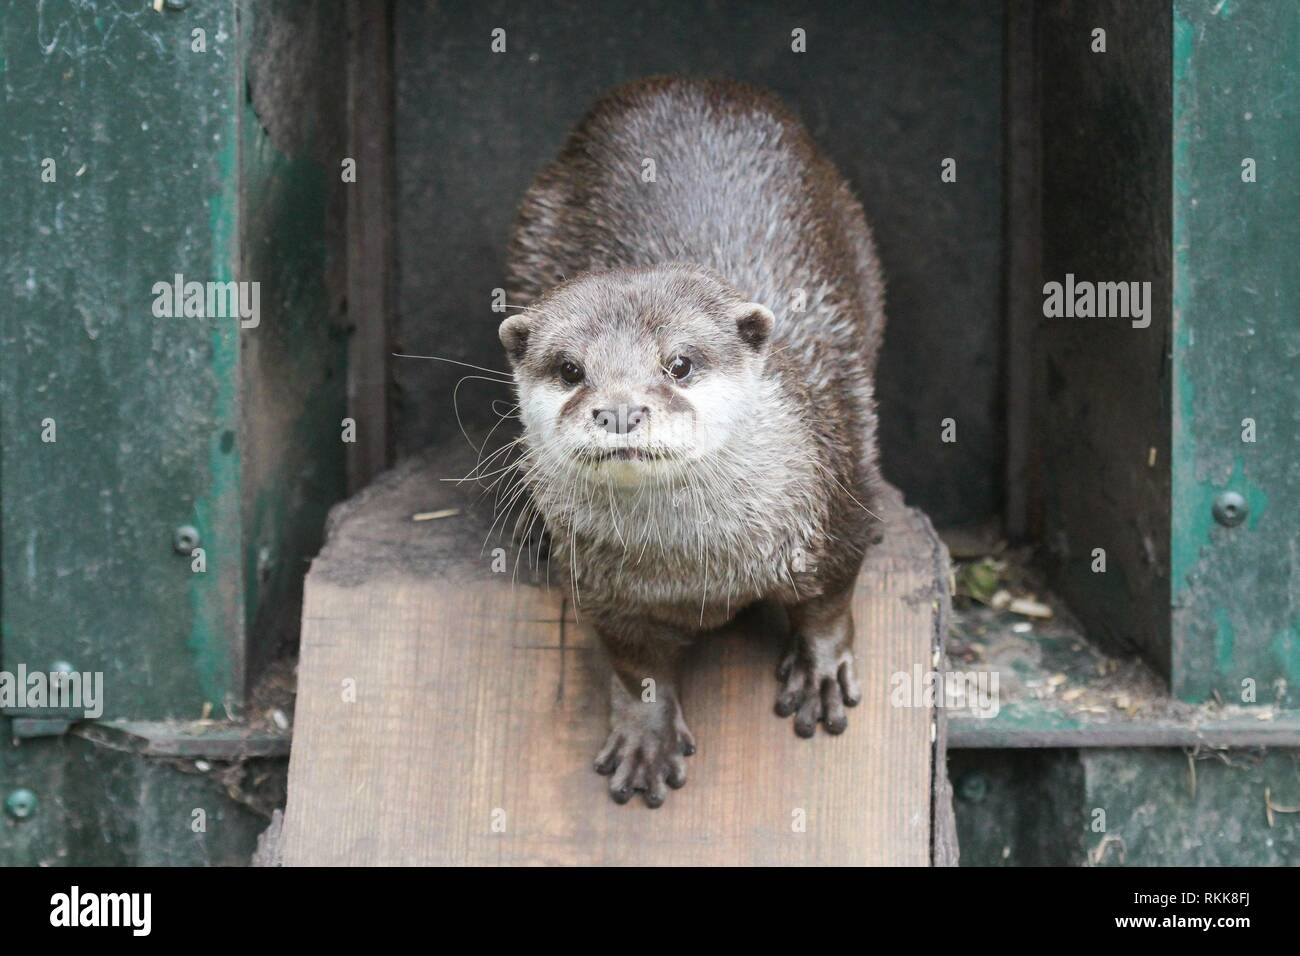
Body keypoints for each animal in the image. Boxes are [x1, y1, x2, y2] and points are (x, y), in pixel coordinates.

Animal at [499, 76, 885, 808]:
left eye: (678, 363)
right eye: (570, 369)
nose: (621, 410)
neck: (695, 566)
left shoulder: (835, 488)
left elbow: (831, 595)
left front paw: (821, 670)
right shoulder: (605, 587)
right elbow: (634, 662)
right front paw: (645, 735)